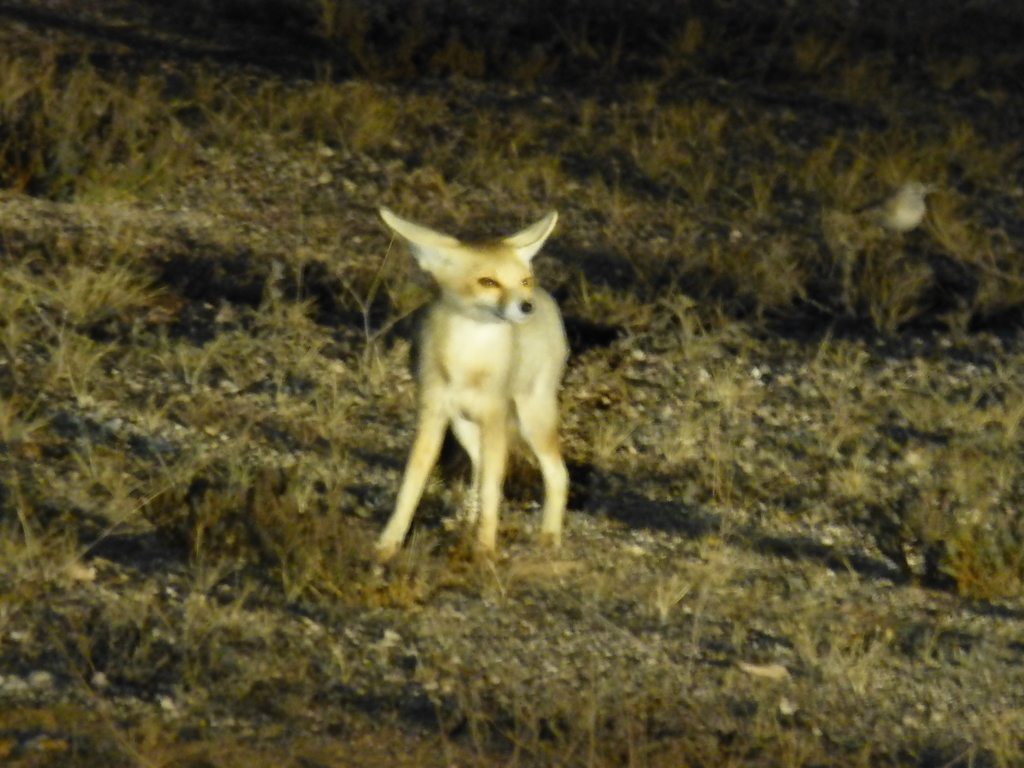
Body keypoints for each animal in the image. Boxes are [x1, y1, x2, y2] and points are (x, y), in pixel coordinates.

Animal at [375, 206, 569, 562]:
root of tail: (547, 297)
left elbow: (493, 491)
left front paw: (484, 551)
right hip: (464, 425)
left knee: (557, 473)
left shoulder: (494, 419)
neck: (467, 364)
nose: (526, 306)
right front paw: (388, 543)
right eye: (487, 282)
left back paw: (549, 537)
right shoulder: (433, 416)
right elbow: (411, 485)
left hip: (531, 417)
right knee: (479, 468)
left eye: (523, 280)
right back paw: (465, 518)